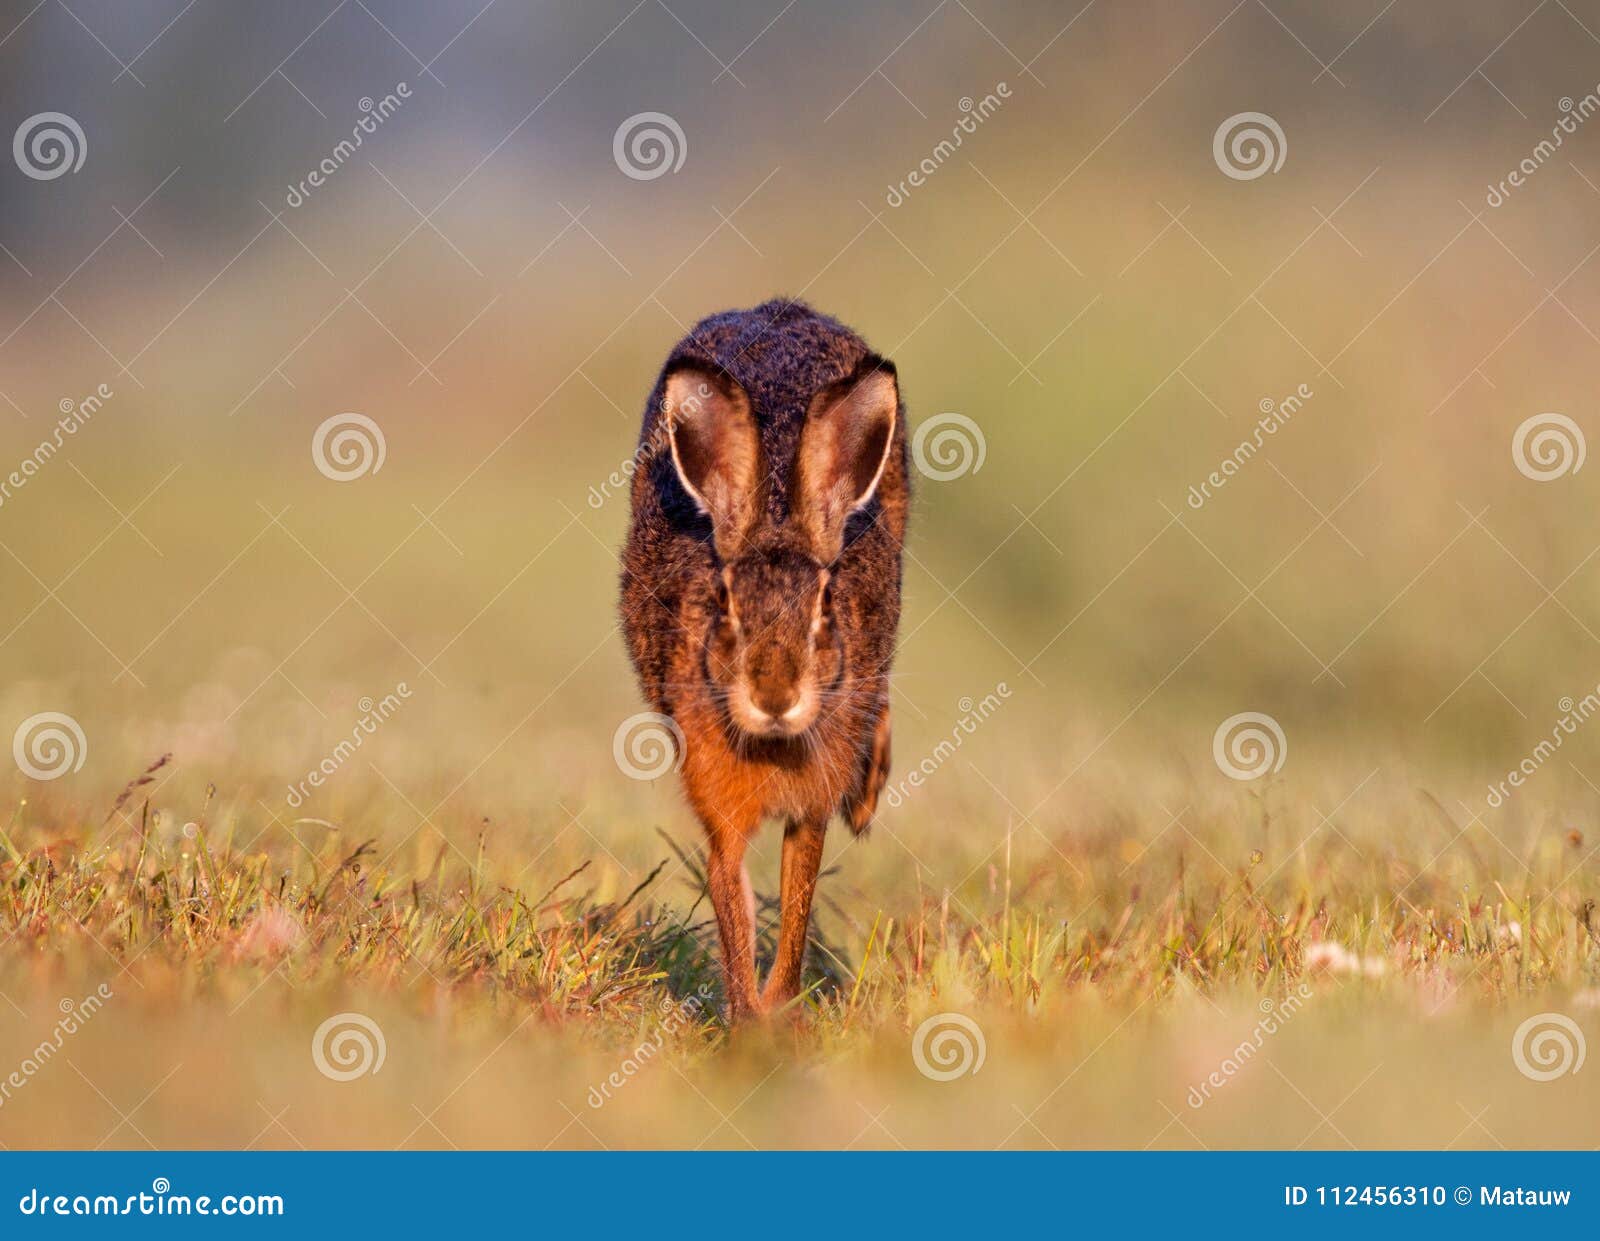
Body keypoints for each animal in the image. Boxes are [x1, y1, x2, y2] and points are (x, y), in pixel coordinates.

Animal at [620, 299, 909, 1021]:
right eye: (723, 601)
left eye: (825, 602)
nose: (775, 696)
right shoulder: (717, 798)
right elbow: (732, 900)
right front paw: (750, 1021)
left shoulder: (812, 800)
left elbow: (799, 896)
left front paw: (780, 1010)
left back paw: (869, 793)